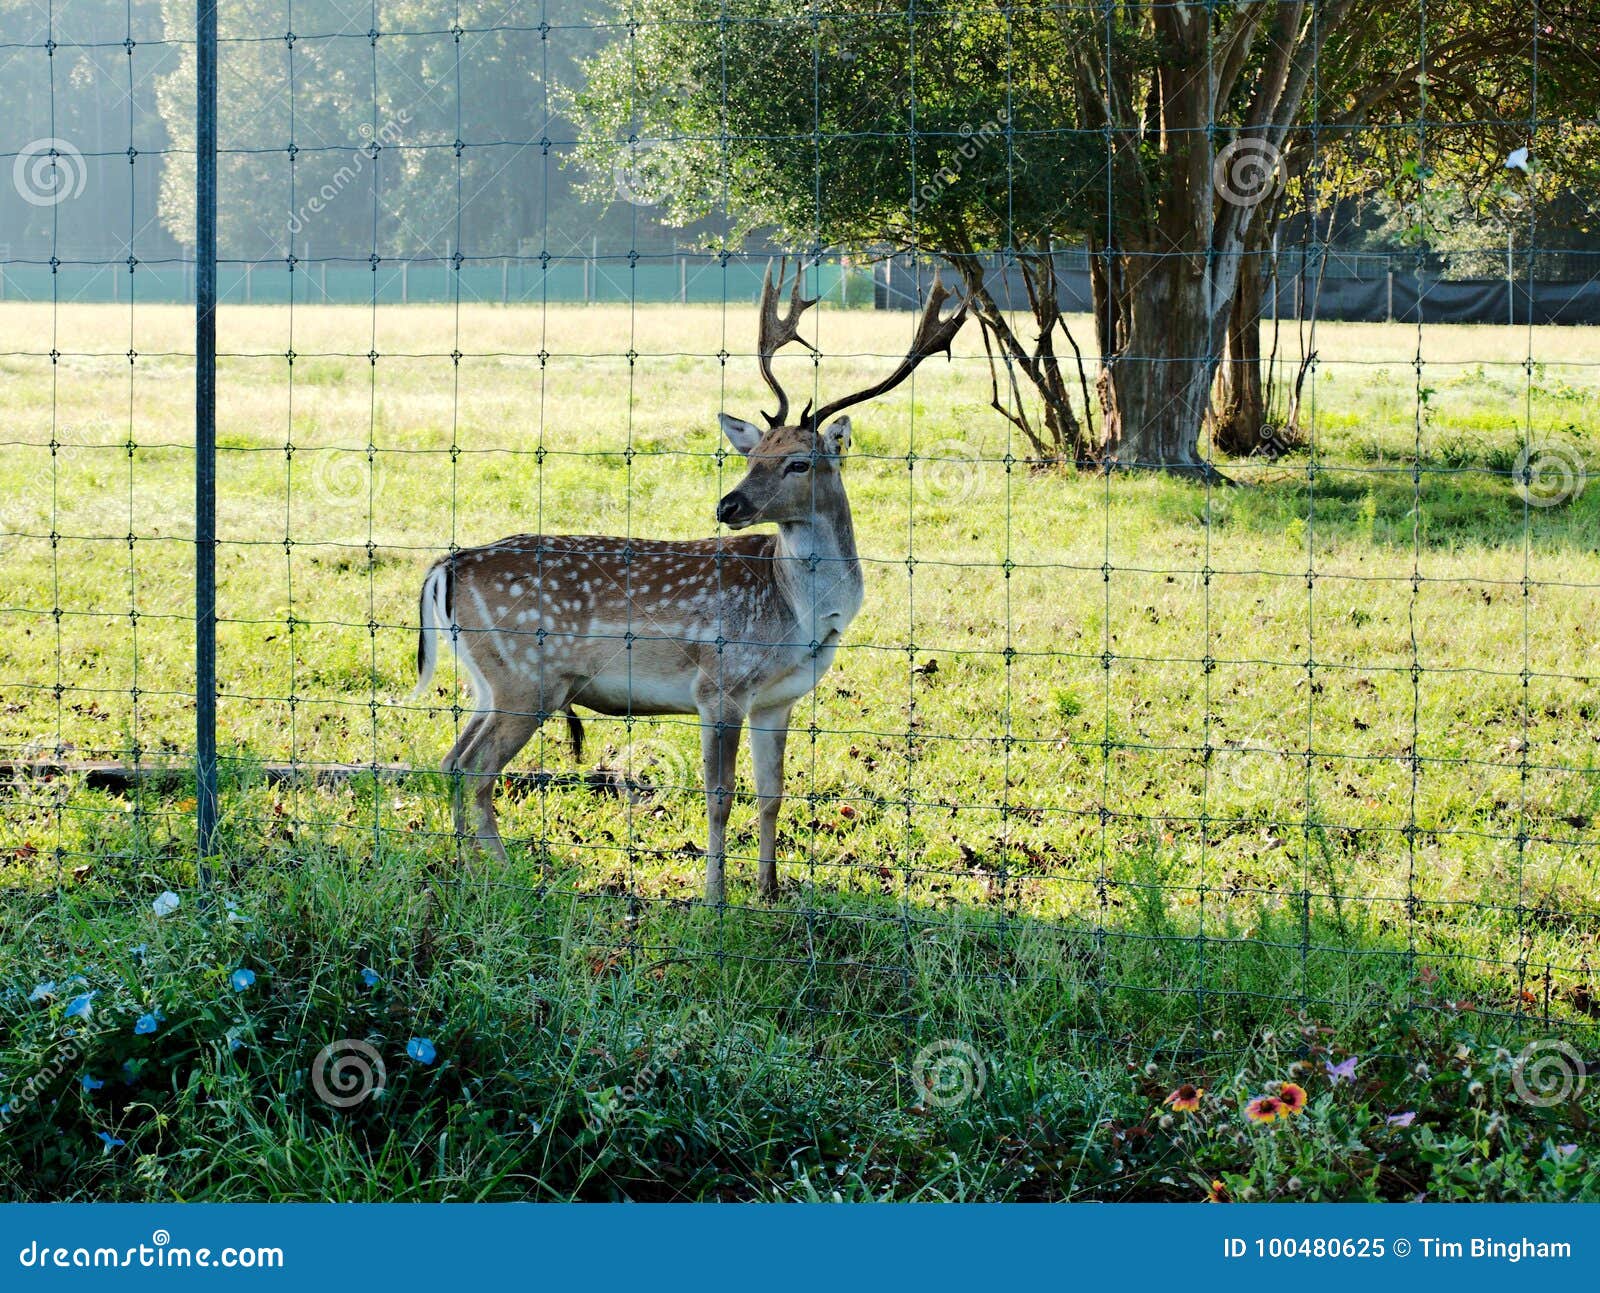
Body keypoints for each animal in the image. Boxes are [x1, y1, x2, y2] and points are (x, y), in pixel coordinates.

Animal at [412, 260, 967, 904]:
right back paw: (505, 872)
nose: (729, 505)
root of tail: (446, 567)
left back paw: (465, 865)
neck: (799, 613)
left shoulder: (777, 698)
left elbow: (773, 793)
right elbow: (720, 797)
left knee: (452, 760)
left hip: (491, 678)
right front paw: (715, 898)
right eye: (753, 455)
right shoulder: (719, 683)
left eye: (799, 461)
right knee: (476, 769)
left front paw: (769, 890)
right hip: (528, 677)